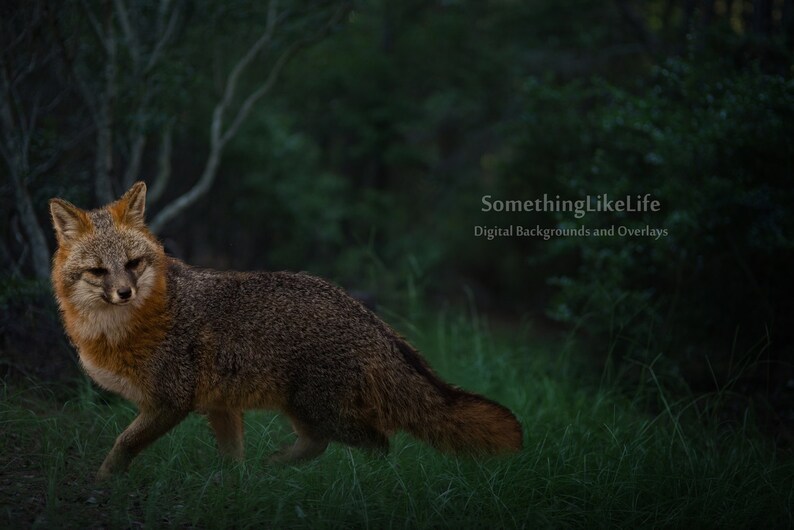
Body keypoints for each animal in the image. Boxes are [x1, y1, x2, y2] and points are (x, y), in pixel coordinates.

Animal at [49, 182, 522, 480]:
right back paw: (273, 468)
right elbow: (232, 458)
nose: (124, 292)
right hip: (307, 411)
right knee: (321, 445)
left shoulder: (170, 401)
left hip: (321, 411)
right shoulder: (220, 406)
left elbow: (123, 443)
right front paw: (237, 487)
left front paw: (103, 482)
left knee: (378, 442)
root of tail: (369, 318)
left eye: (133, 263)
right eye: (98, 271)